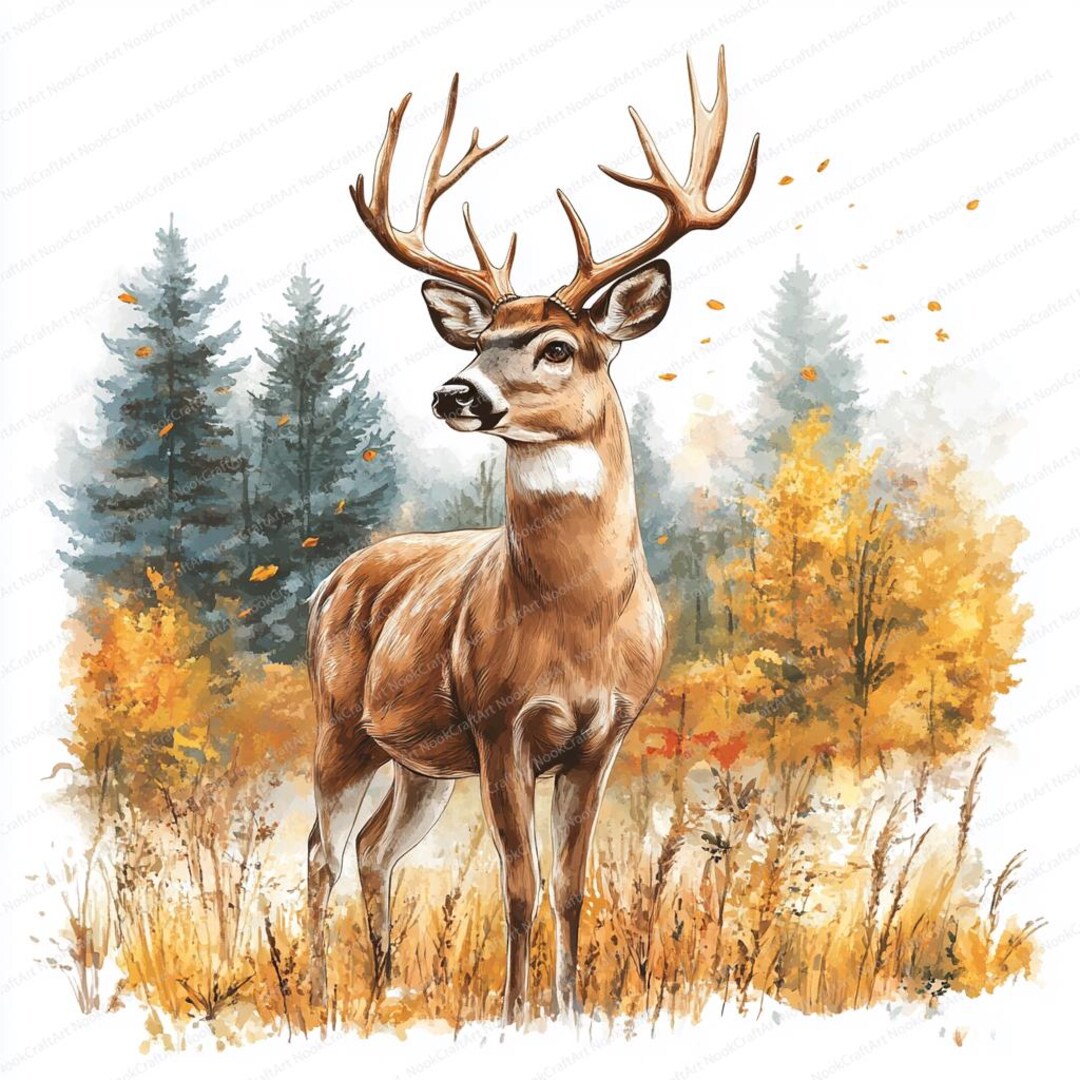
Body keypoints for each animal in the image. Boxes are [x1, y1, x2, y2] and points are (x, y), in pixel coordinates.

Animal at [306, 45, 758, 1025]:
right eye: (479, 342)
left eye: (557, 347)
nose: (456, 392)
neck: (576, 622)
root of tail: (332, 579)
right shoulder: (498, 721)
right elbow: (520, 882)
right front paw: (517, 1016)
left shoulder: (604, 733)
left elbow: (573, 886)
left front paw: (570, 1009)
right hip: (341, 722)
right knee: (322, 853)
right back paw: (317, 994)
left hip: (421, 763)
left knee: (371, 850)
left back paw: (385, 979)